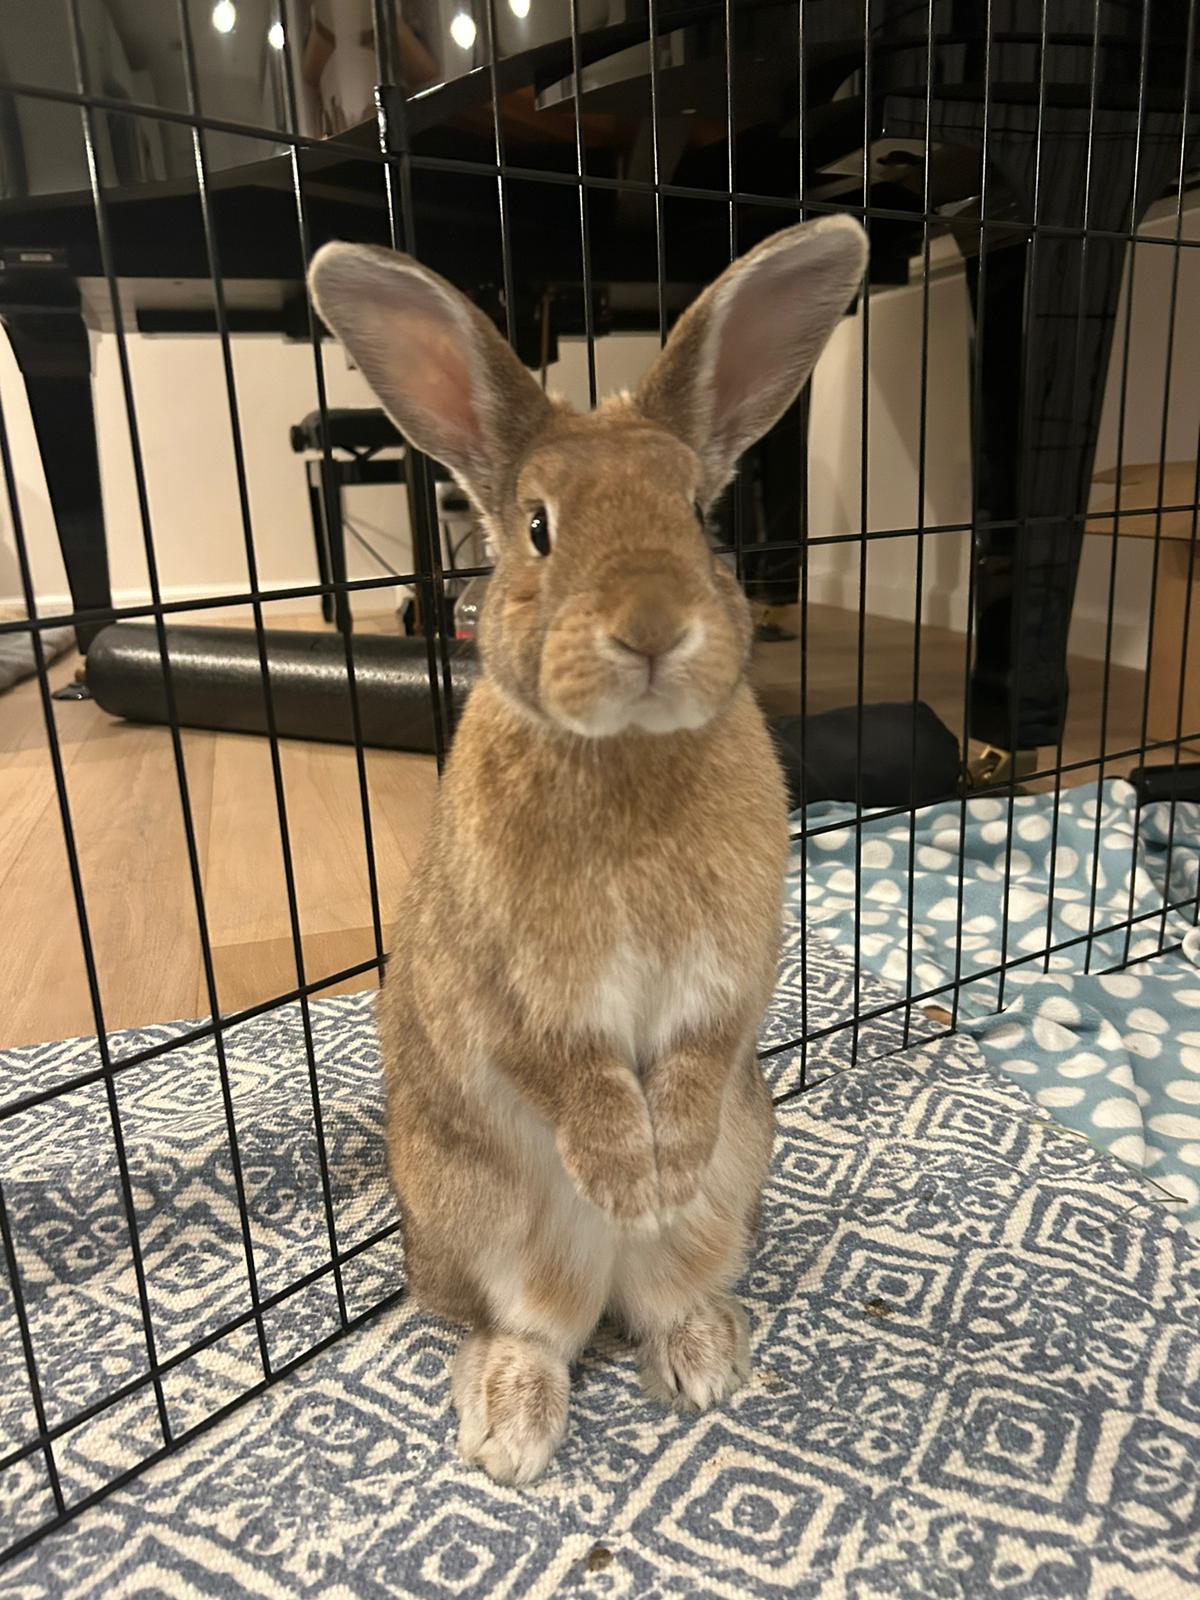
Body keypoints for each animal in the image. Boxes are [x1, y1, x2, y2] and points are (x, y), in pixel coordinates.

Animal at [308, 215, 867, 1485]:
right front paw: (625, 1173)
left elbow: (700, 1054)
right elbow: (572, 1071)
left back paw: (703, 1358)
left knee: (668, 1291)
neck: (626, 752)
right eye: (537, 529)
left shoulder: (732, 969)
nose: (653, 628)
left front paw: (664, 1167)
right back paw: (511, 1436)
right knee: (526, 1328)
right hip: (481, 1223)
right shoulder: (514, 990)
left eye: (702, 517)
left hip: (731, 1198)